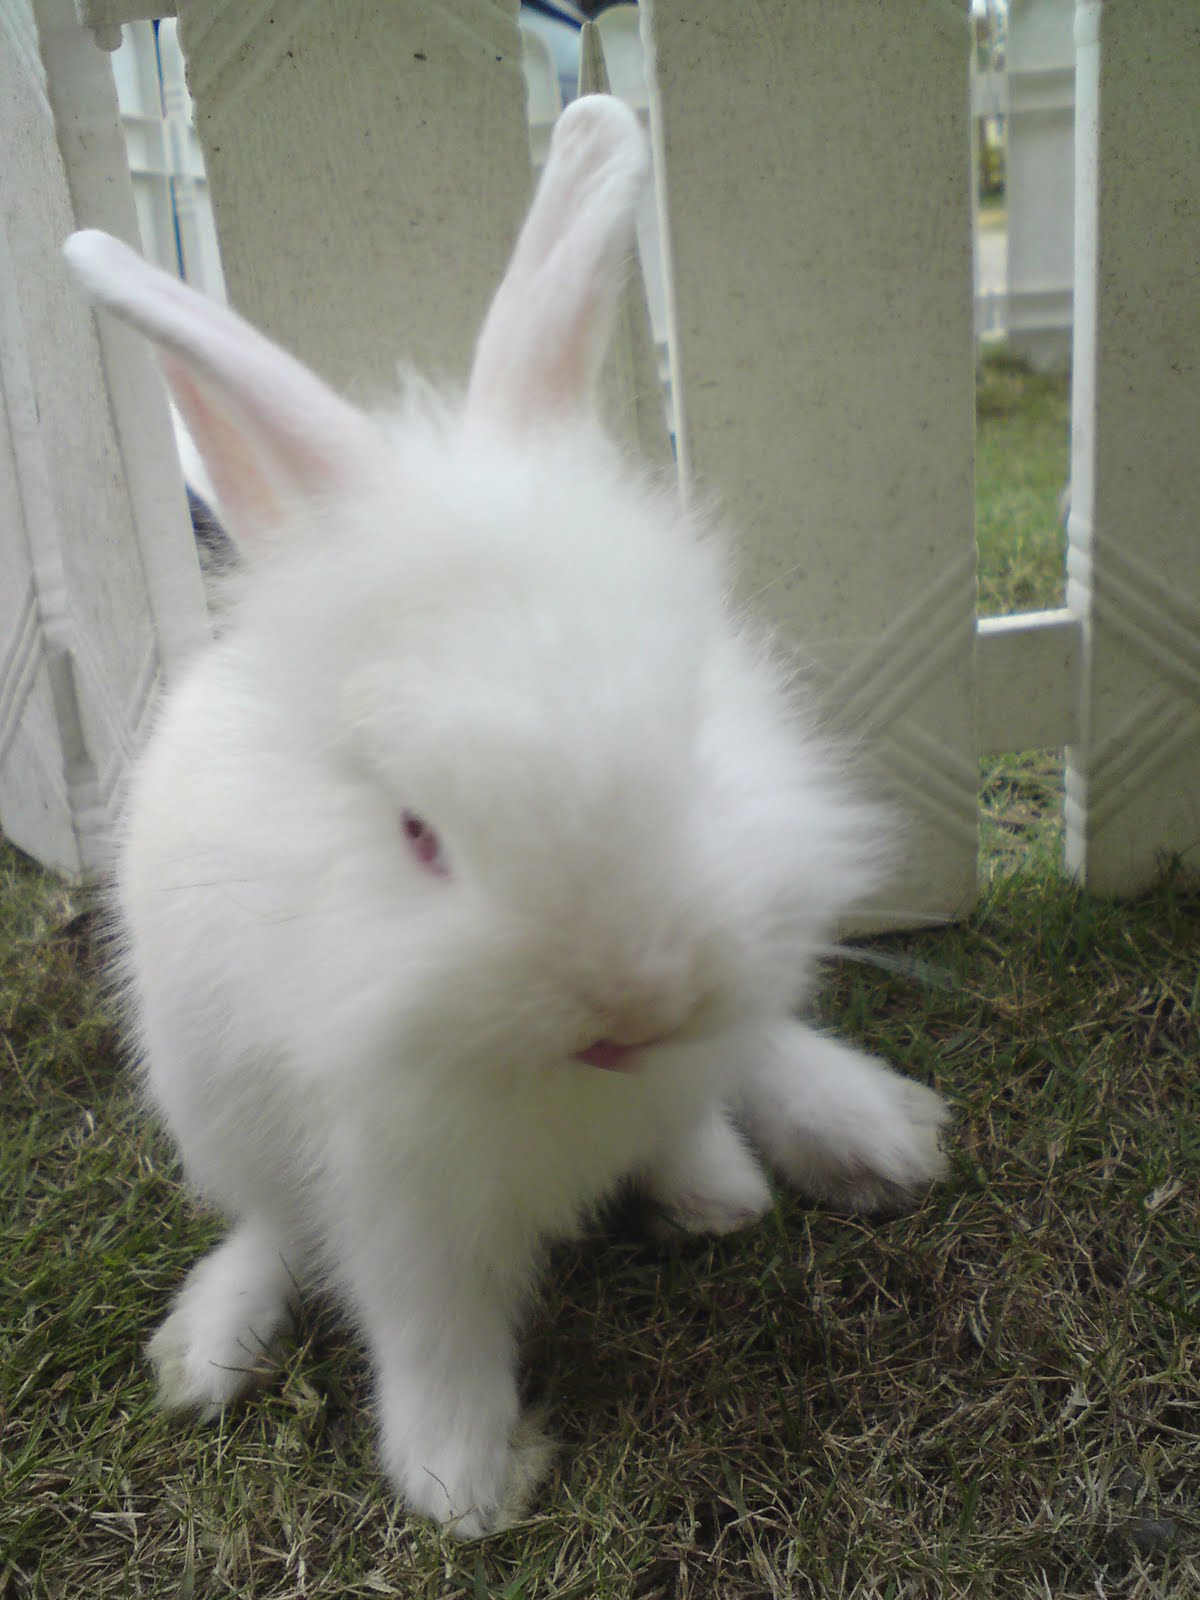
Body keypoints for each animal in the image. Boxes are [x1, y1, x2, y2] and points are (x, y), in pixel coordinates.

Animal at [64, 95, 949, 1539]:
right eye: (418, 835)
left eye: (693, 736)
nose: (633, 1004)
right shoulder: (394, 1181)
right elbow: (426, 1323)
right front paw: (462, 1478)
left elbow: (710, 1085)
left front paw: (723, 1183)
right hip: (219, 1110)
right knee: (272, 1229)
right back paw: (206, 1350)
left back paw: (838, 1147)